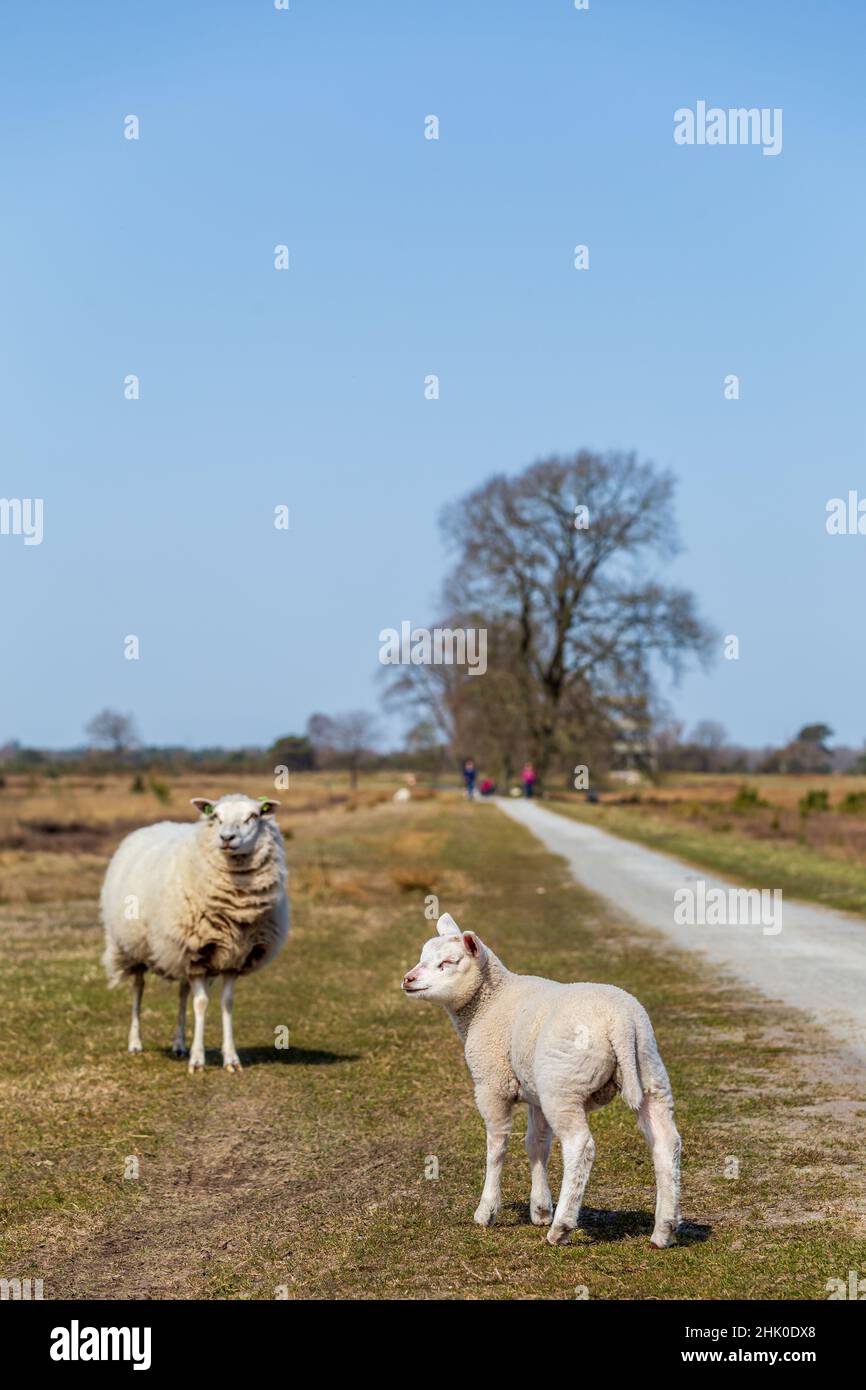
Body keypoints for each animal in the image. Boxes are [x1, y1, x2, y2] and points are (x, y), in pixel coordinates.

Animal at [101, 794, 289, 1073]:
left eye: (253, 816)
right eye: (216, 816)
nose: (226, 838)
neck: (236, 907)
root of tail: (154, 825)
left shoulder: (230, 958)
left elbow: (226, 1003)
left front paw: (231, 1058)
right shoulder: (197, 955)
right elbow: (201, 1004)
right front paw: (198, 1060)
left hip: (181, 952)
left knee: (182, 993)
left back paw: (179, 1045)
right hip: (134, 947)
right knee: (138, 988)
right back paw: (135, 1042)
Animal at [401, 913, 681, 1248]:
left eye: (447, 962)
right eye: (423, 956)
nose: (408, 979)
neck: (488, 1004)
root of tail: (621, 1022)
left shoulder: (492, 1085)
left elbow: (497, 1147)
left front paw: (487, 1211)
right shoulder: (534, 1093)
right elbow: (536, 1145)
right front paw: (540, 1208)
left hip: (564, 1086)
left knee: (580, 1146)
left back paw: (561, 1228)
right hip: (648, 1073)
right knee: (666, 1142)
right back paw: (663, 1230)